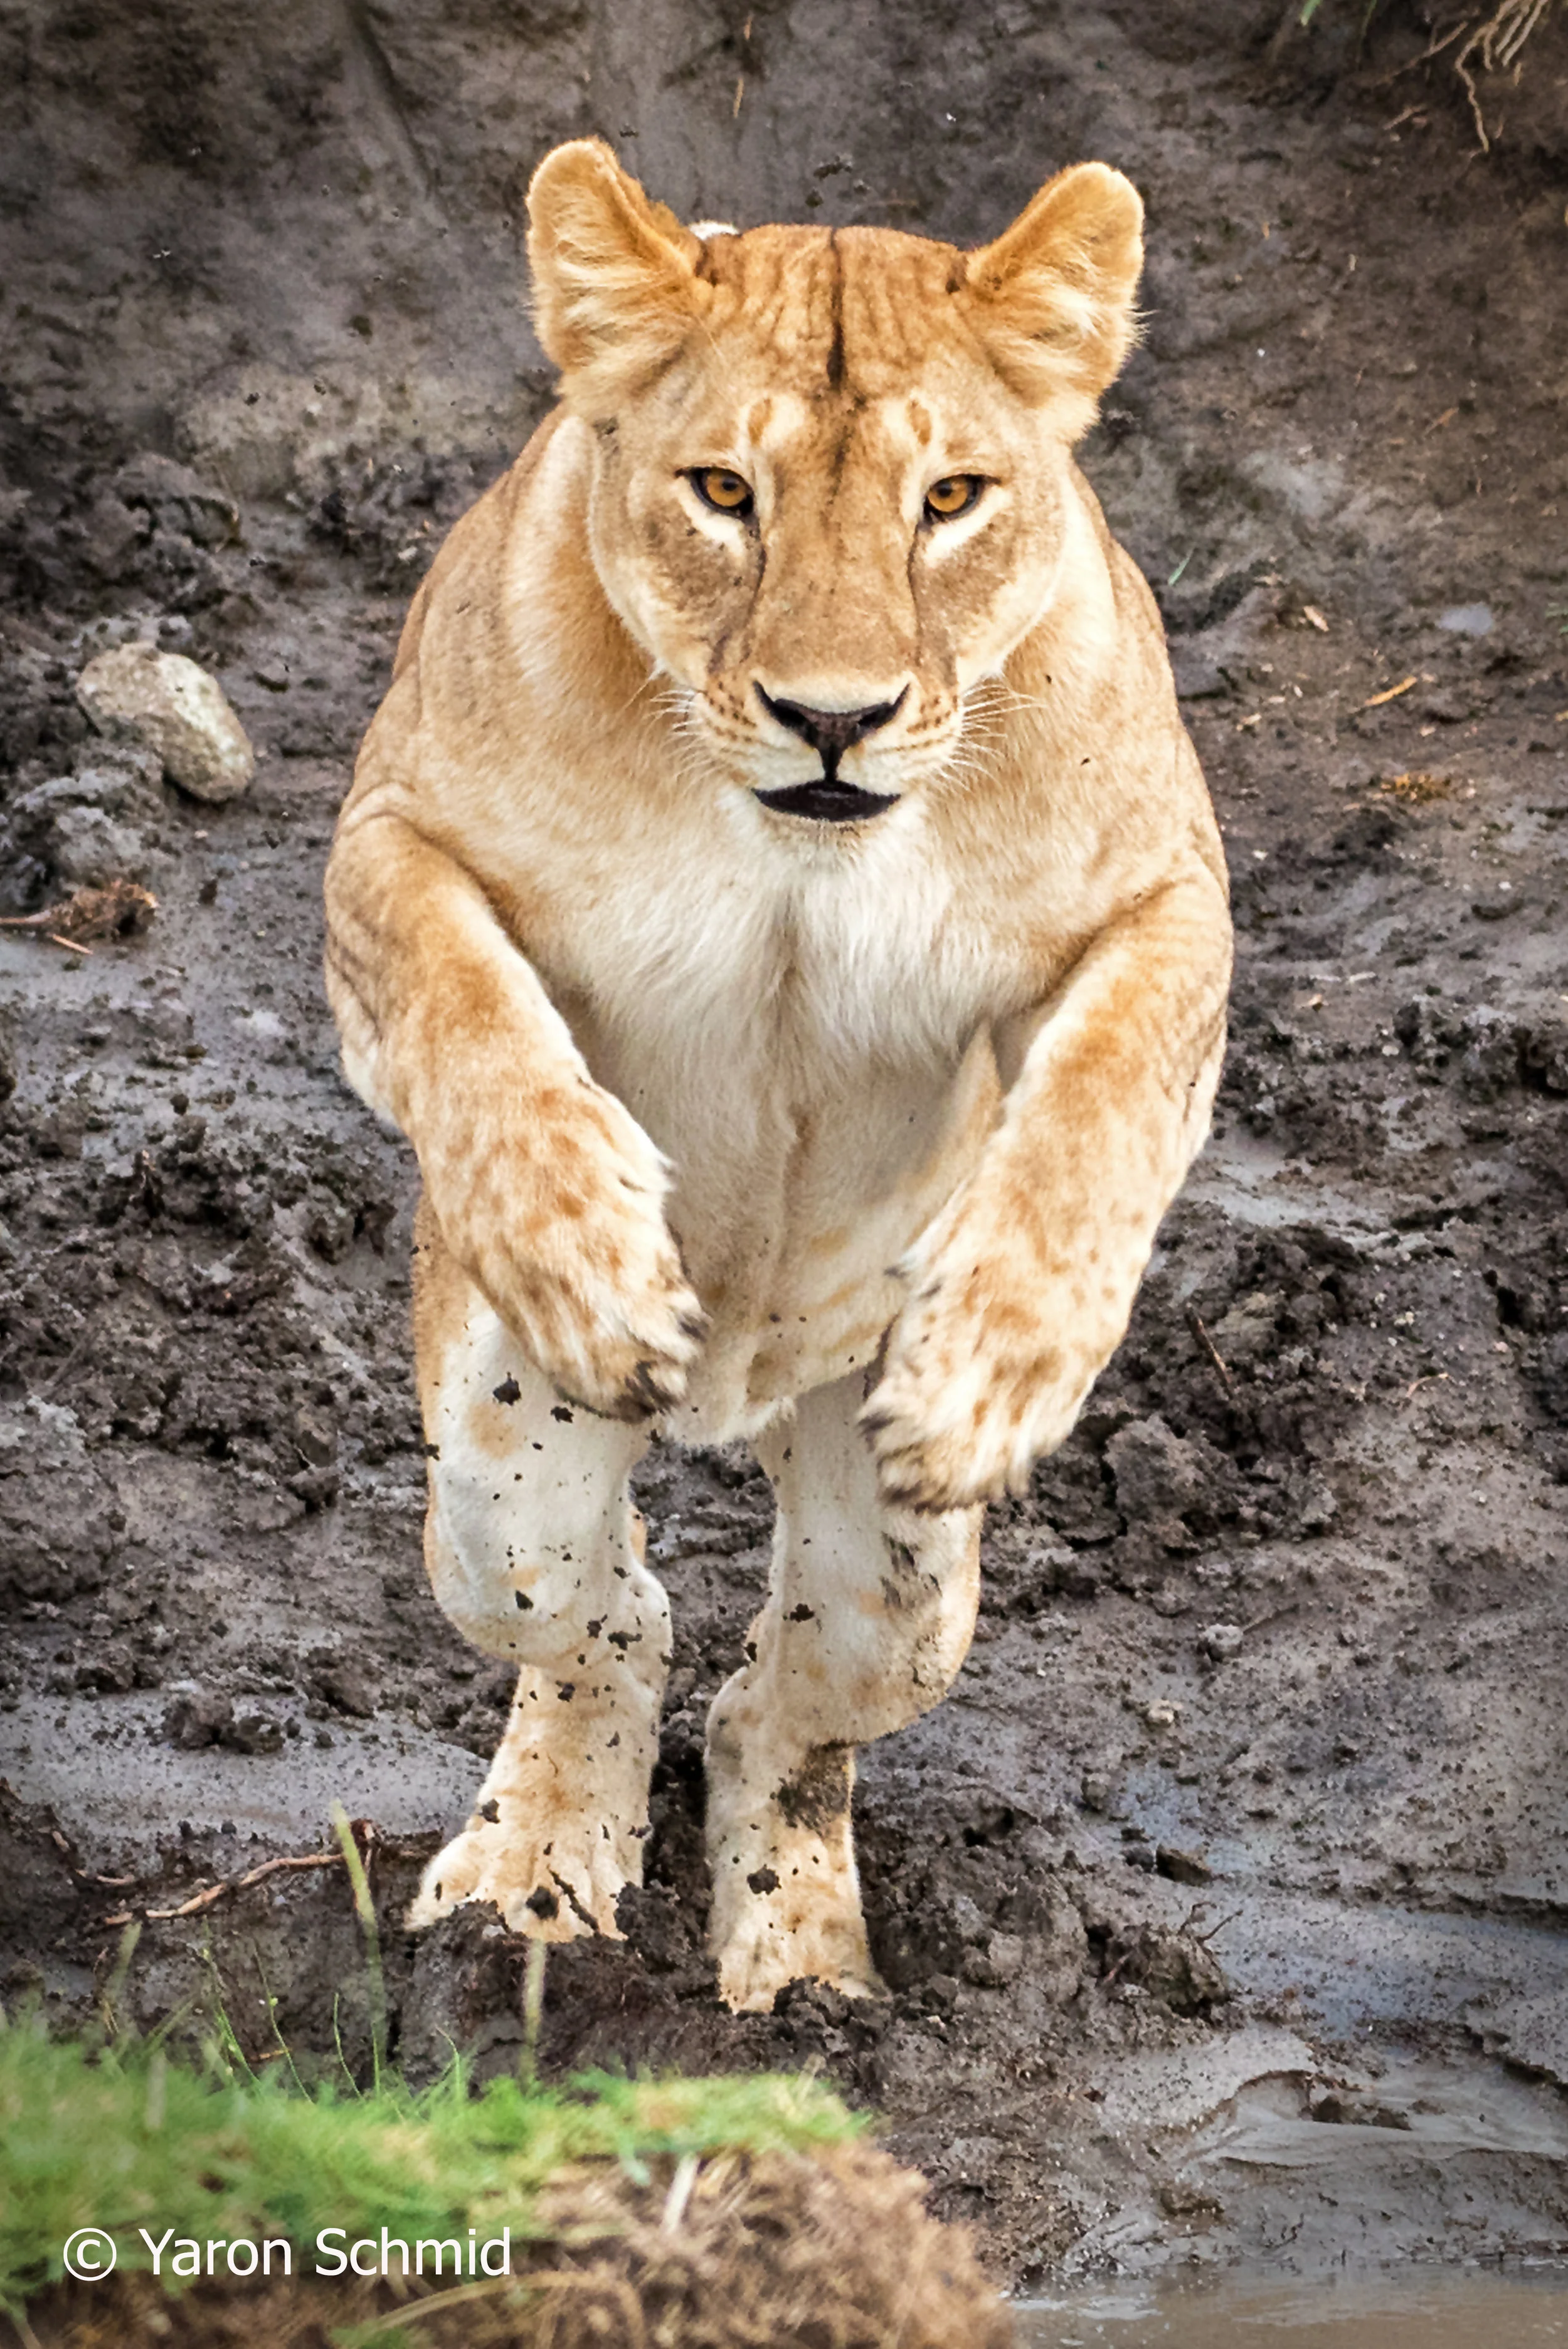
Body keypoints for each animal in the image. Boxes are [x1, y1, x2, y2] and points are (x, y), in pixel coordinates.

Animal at [323, 139, 1232, 2013]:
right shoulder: (394, 844)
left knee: (795, 1703)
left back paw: (800, 1972)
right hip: (492, 1472)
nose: (834, 716)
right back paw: (535, 1885)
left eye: (949, 498)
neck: (795, 846)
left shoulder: (1165, 898)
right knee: (596, 1614)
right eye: (723, 493)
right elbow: (470, 1018)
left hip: (897, 1577)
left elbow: (1096, 1114)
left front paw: (998, 1368)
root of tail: (751, 1395)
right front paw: (588, 1256)